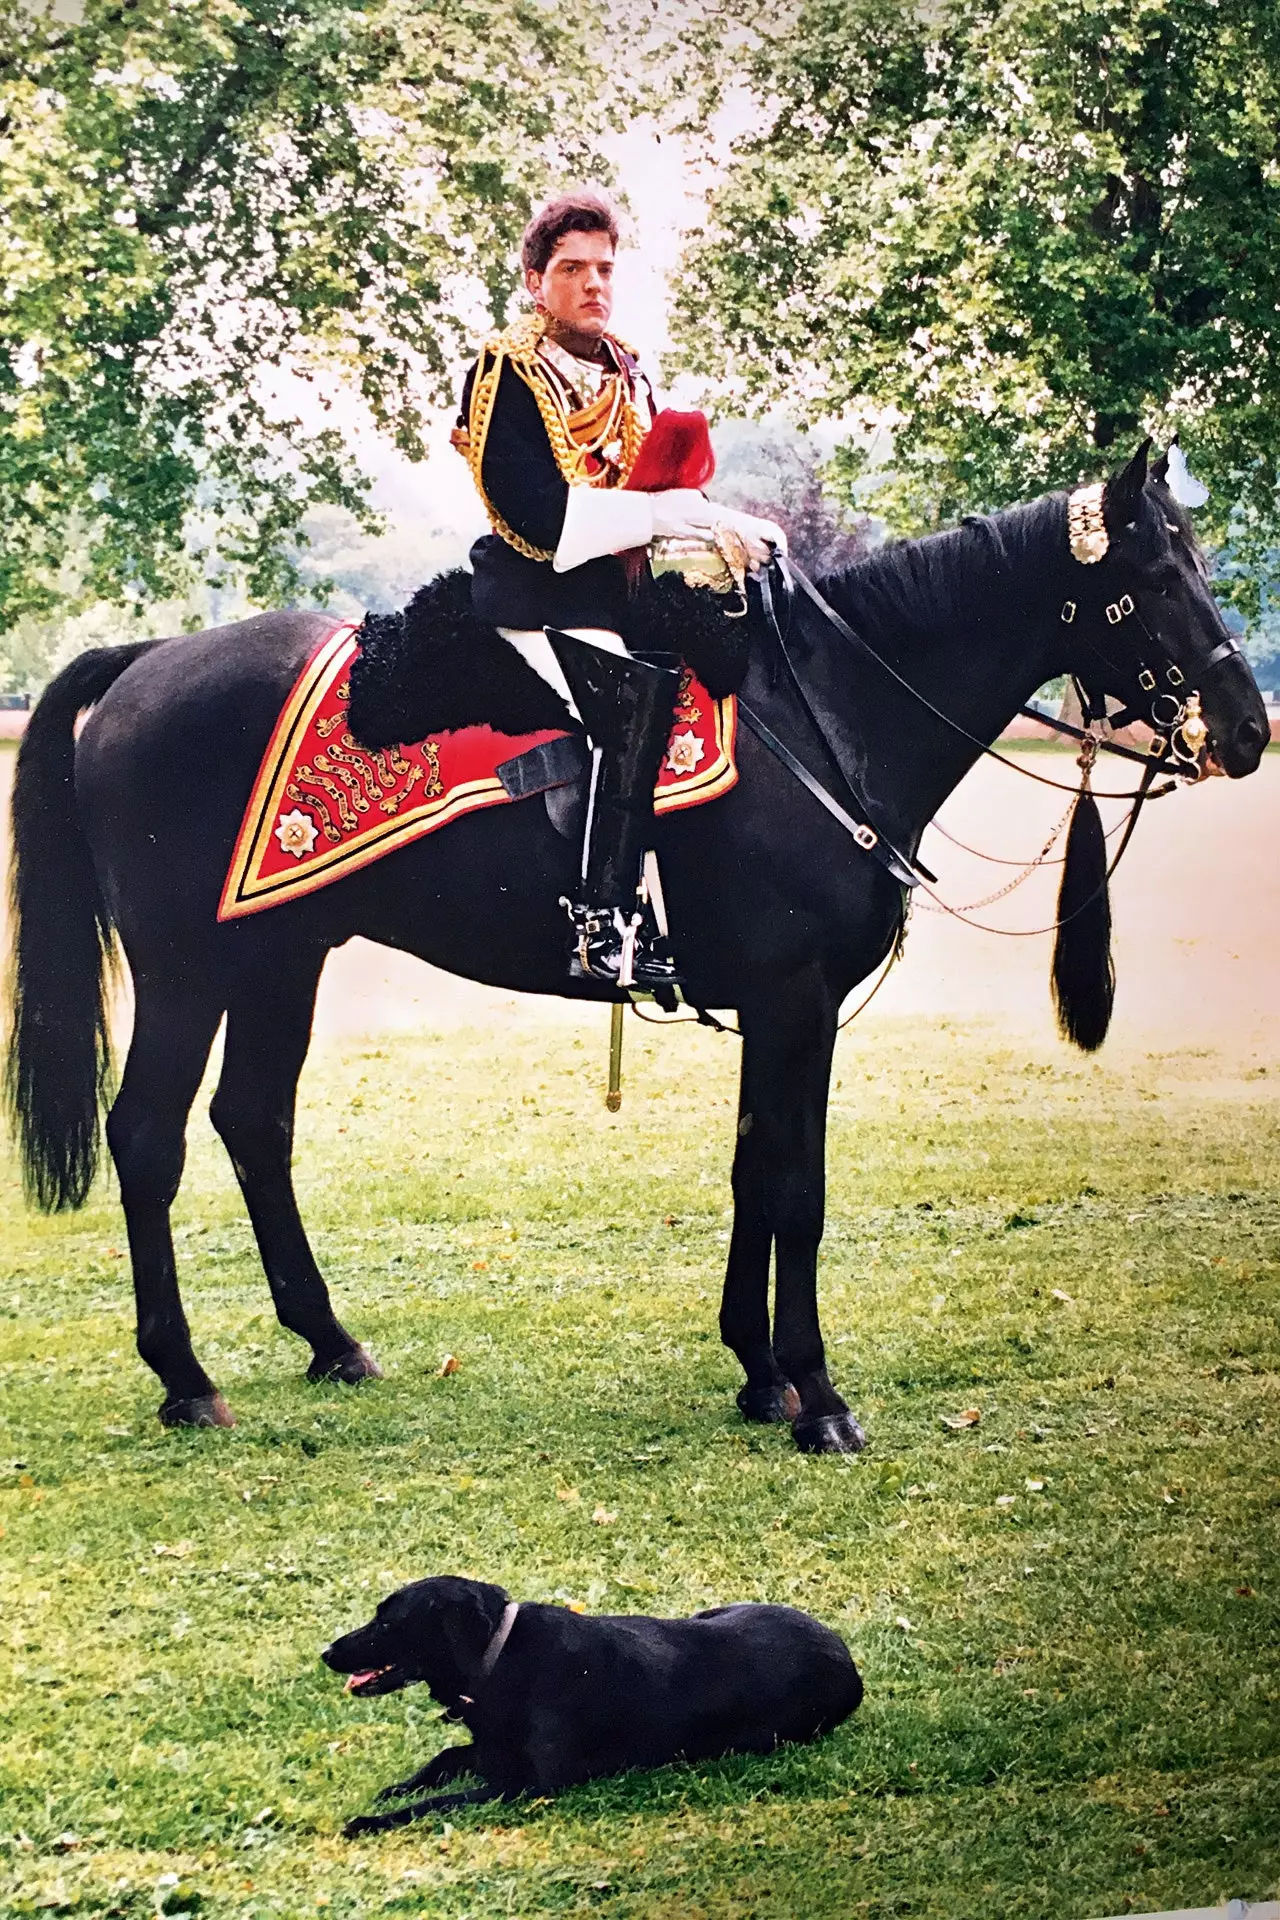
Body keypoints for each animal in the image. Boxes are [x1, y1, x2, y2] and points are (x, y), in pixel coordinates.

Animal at [2, 441, 1274, 1443]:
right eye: (1153, 577)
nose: (1246, 728)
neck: (824, 717)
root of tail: (147, 659)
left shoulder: (779, 1008)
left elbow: (756, 1169)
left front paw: (758, 1371)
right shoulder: (795, 999)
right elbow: (796, 1182)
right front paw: (815, 1393)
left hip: (280, 957)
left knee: (252, 1124)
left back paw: (329, 1340)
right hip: (186, 971)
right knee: (148, 1139)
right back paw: (185, 1377)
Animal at [322, 1582, 859, 1835]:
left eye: (386, 1623)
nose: (325, 1652)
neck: (499, 1653)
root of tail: (850, 1663)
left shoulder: (526, 1784)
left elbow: (440, 1802)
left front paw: (370, 1822)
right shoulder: (495, 1752)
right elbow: (444, 1759)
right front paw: (394, 1789)